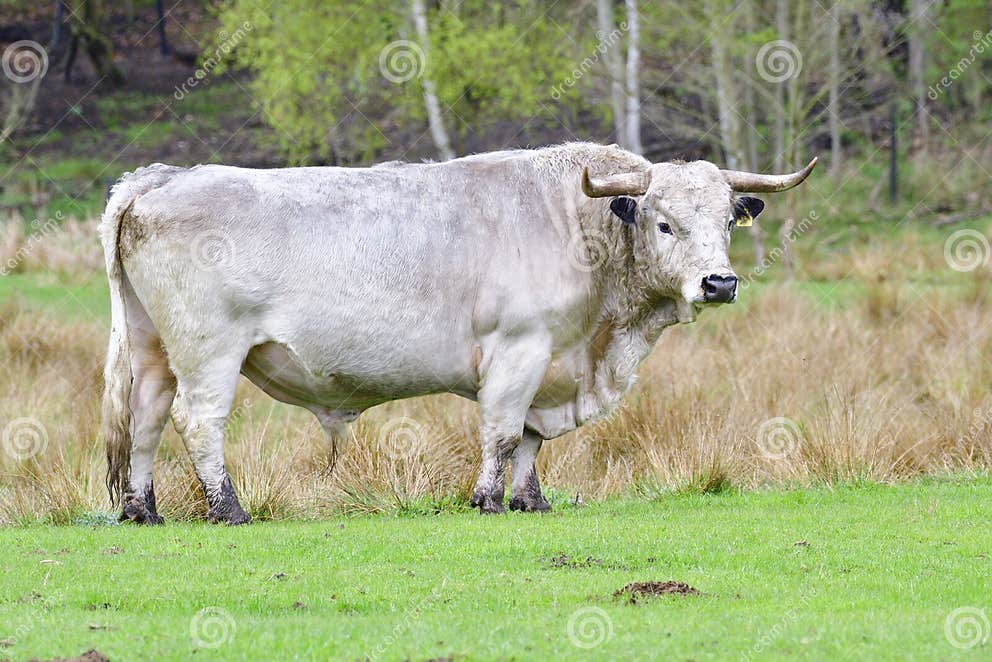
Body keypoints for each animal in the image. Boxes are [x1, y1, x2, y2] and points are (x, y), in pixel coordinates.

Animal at [100, 142, 815, 524]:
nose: (719, 283)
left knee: (145, 420)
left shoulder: (550, 363)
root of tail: (163, 177)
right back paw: (228, 509)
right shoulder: (520, 349)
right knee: (198, 423)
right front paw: (488, 500)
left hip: (153, 348)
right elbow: (501, 431)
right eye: (664, 222)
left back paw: (143, 509)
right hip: (209, 351)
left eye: (728, 220)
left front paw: (531, 500)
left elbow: (528, 438)